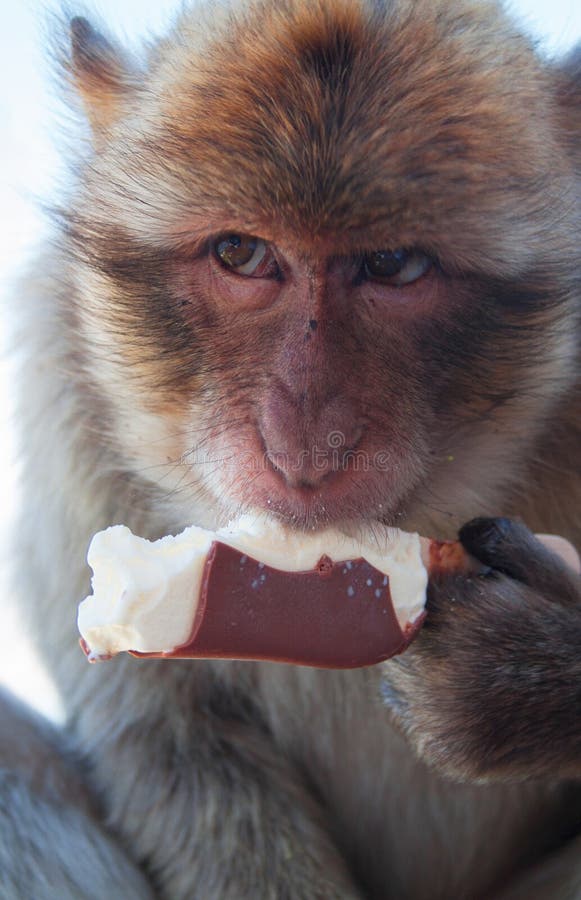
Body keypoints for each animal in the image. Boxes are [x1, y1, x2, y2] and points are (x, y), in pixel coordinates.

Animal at [1, 0, 581, 897]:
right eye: (241, 253)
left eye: (394, 265)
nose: (304, 444)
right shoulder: (66, 393)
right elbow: (178, 751)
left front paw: (512, 679)